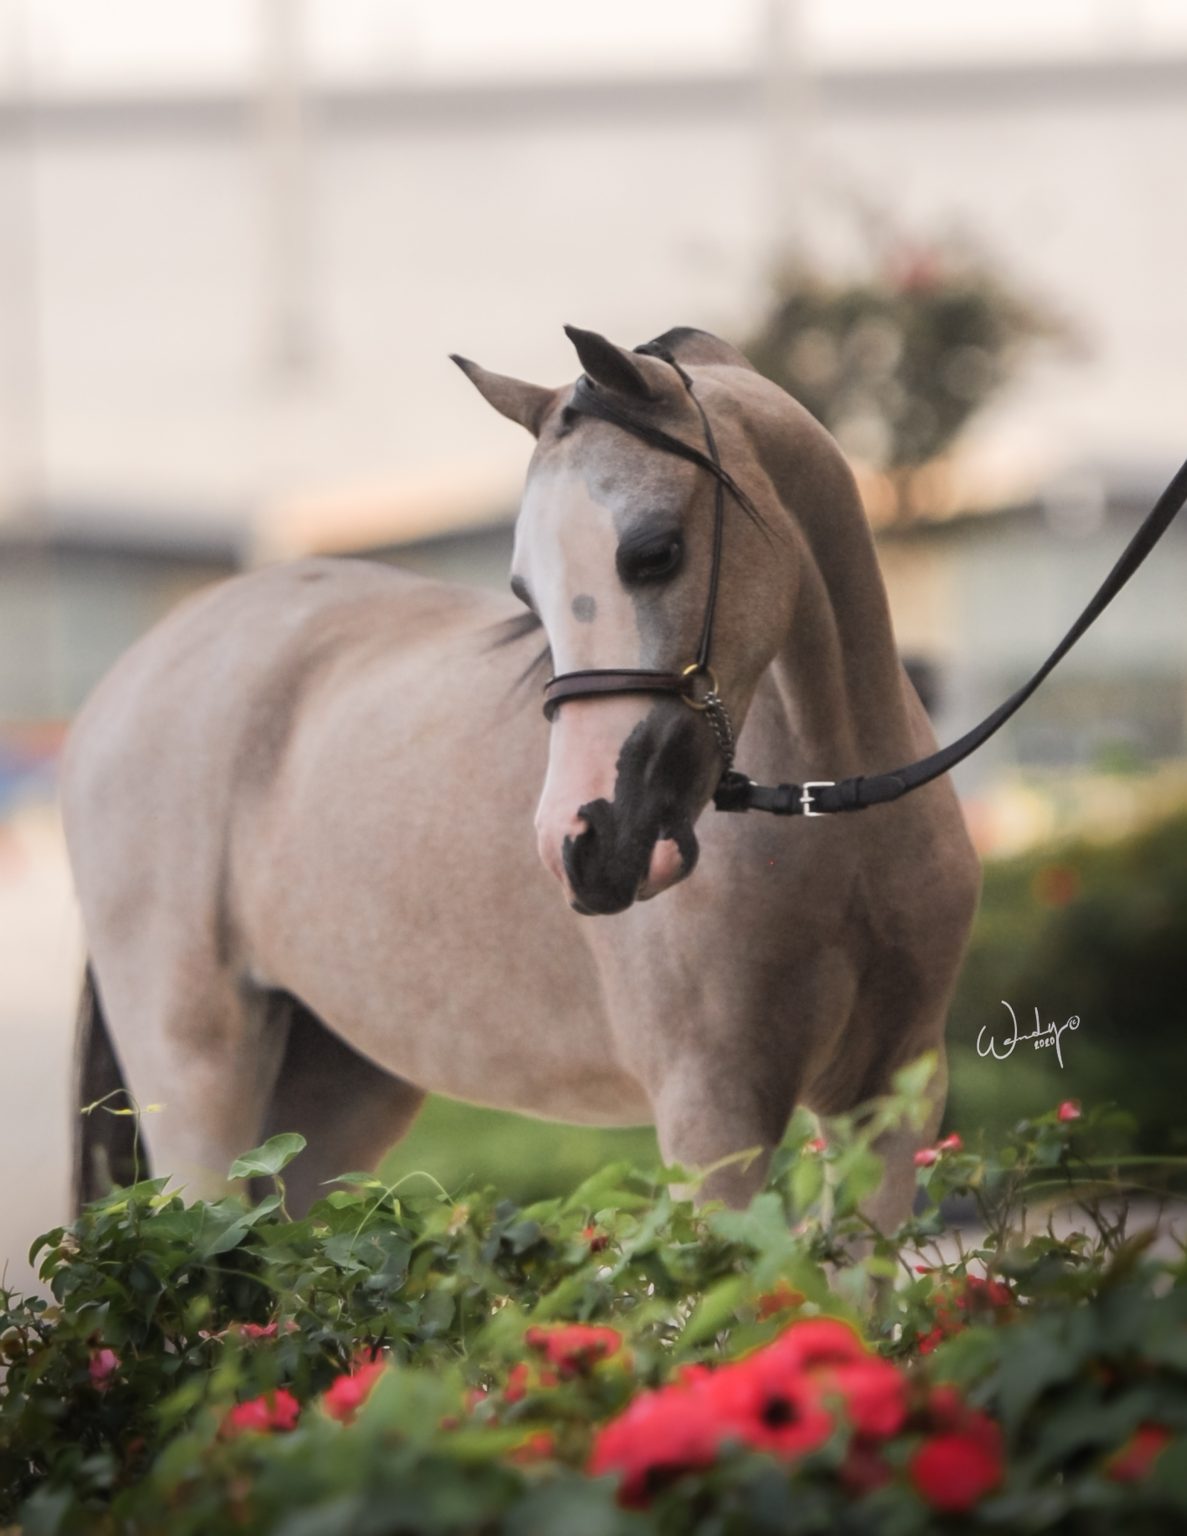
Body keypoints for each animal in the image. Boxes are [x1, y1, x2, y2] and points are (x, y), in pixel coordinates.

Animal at [63, 324, 979, 1224]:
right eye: (524, 591)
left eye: (655, 552)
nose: (583, 842)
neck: (837, 822)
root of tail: (127, 681)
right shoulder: (714, 1113)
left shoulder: (891, 1099)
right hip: (196, 1078)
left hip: (332, 1094)